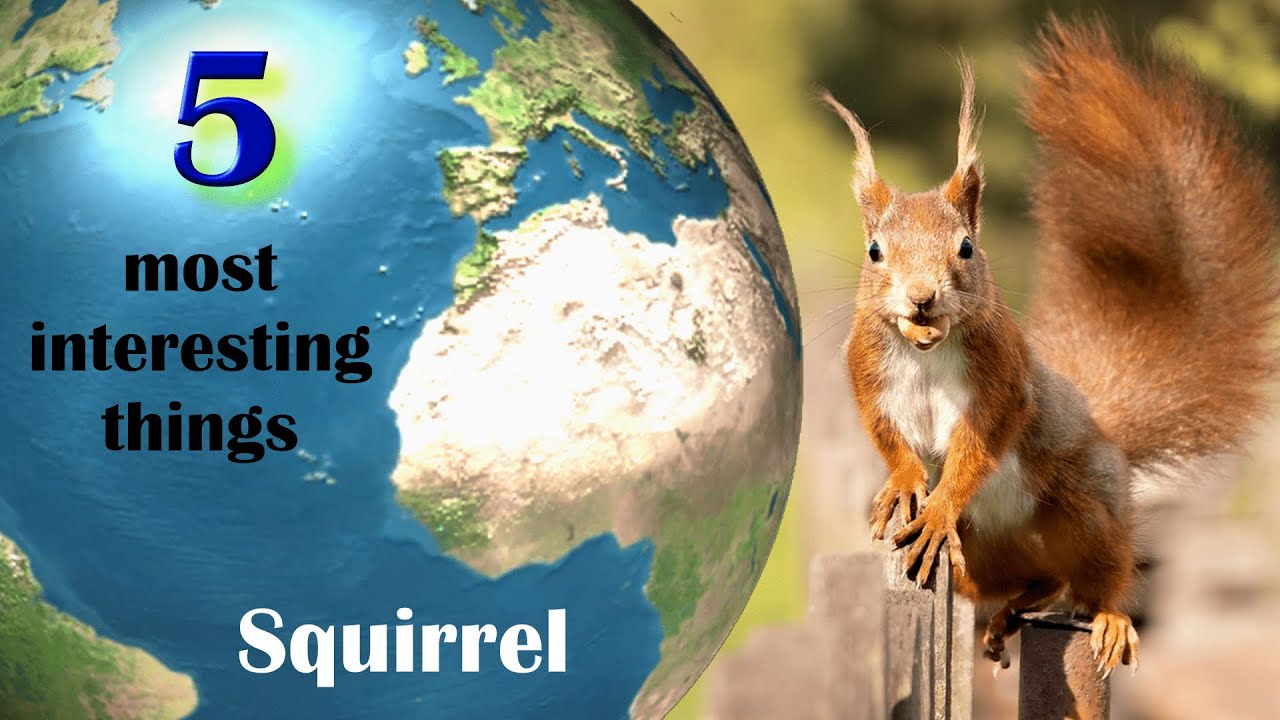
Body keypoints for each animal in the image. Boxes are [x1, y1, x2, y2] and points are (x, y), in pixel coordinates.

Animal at [819, 17, 1280, 678]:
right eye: (875, 251)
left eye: (966, 247)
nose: (922, 298)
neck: (927, 353)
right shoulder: (866, 369)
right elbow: (886, 434)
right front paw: (907, 481)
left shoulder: (1003, 380)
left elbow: (978, 448)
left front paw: (939, 504)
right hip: (986, 552)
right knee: (1034, 580)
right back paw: (1005, 612)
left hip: (1086, 509)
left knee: (1094, 578)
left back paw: (1108, 619)